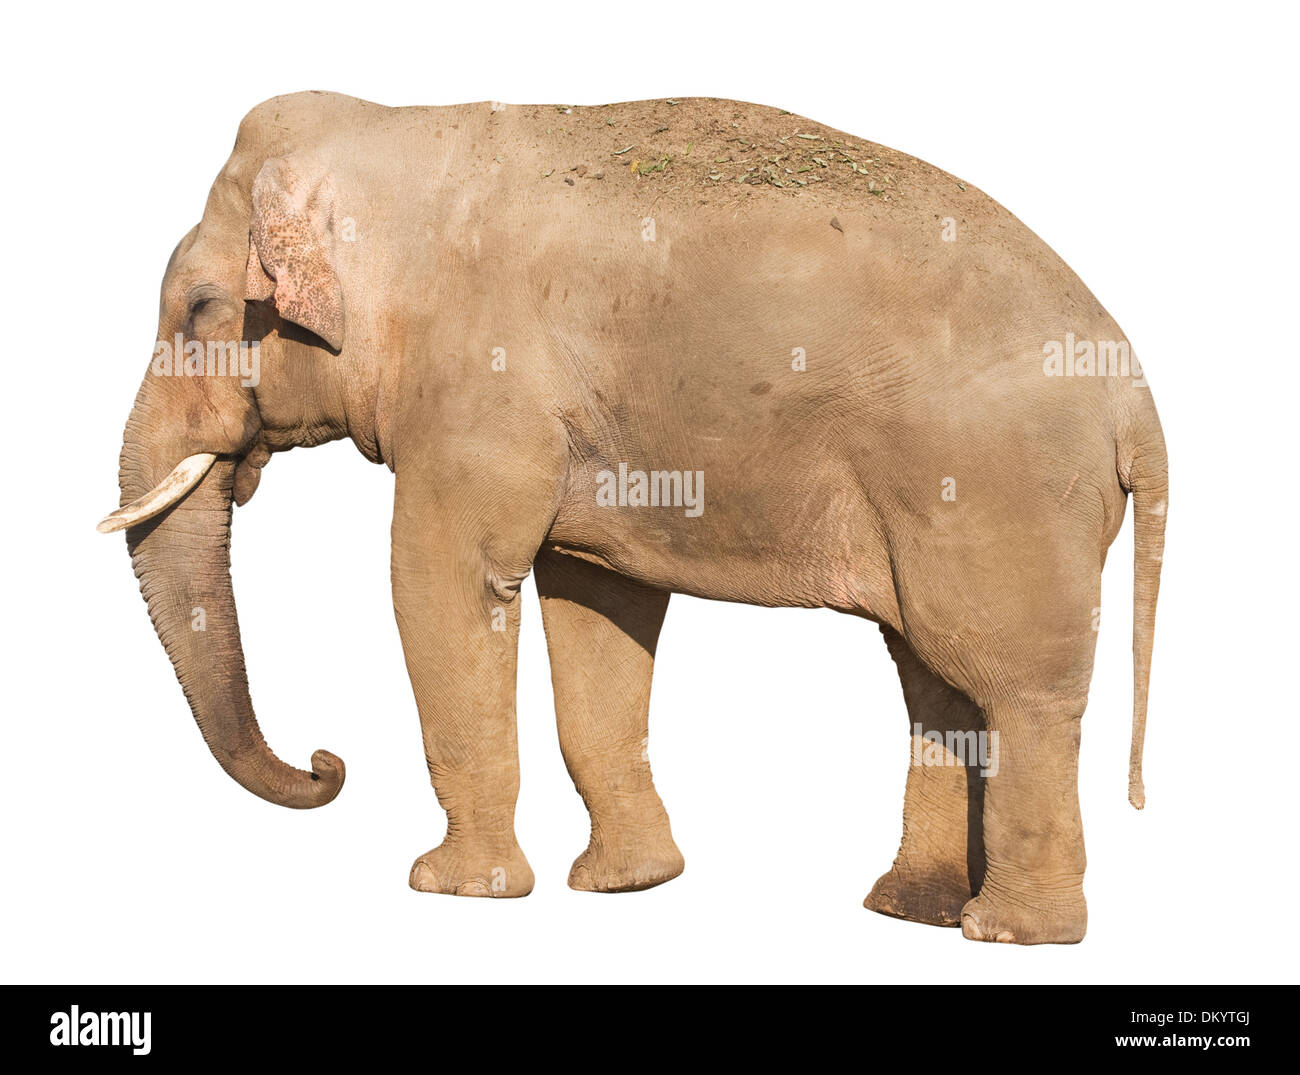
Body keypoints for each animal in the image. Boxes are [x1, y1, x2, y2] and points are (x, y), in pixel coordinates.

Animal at [100, 93, 1166, 944]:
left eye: (201, 308)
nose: (328, 761)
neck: (398, 135)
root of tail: (1132, 396)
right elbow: (596, 603)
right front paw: (629, 885)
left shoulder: (483, 390)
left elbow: (441, 580)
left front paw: (453, 890)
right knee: (935, 677)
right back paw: (912, 910)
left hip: (996, 490)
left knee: (1015, 687)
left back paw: (1009, 934)